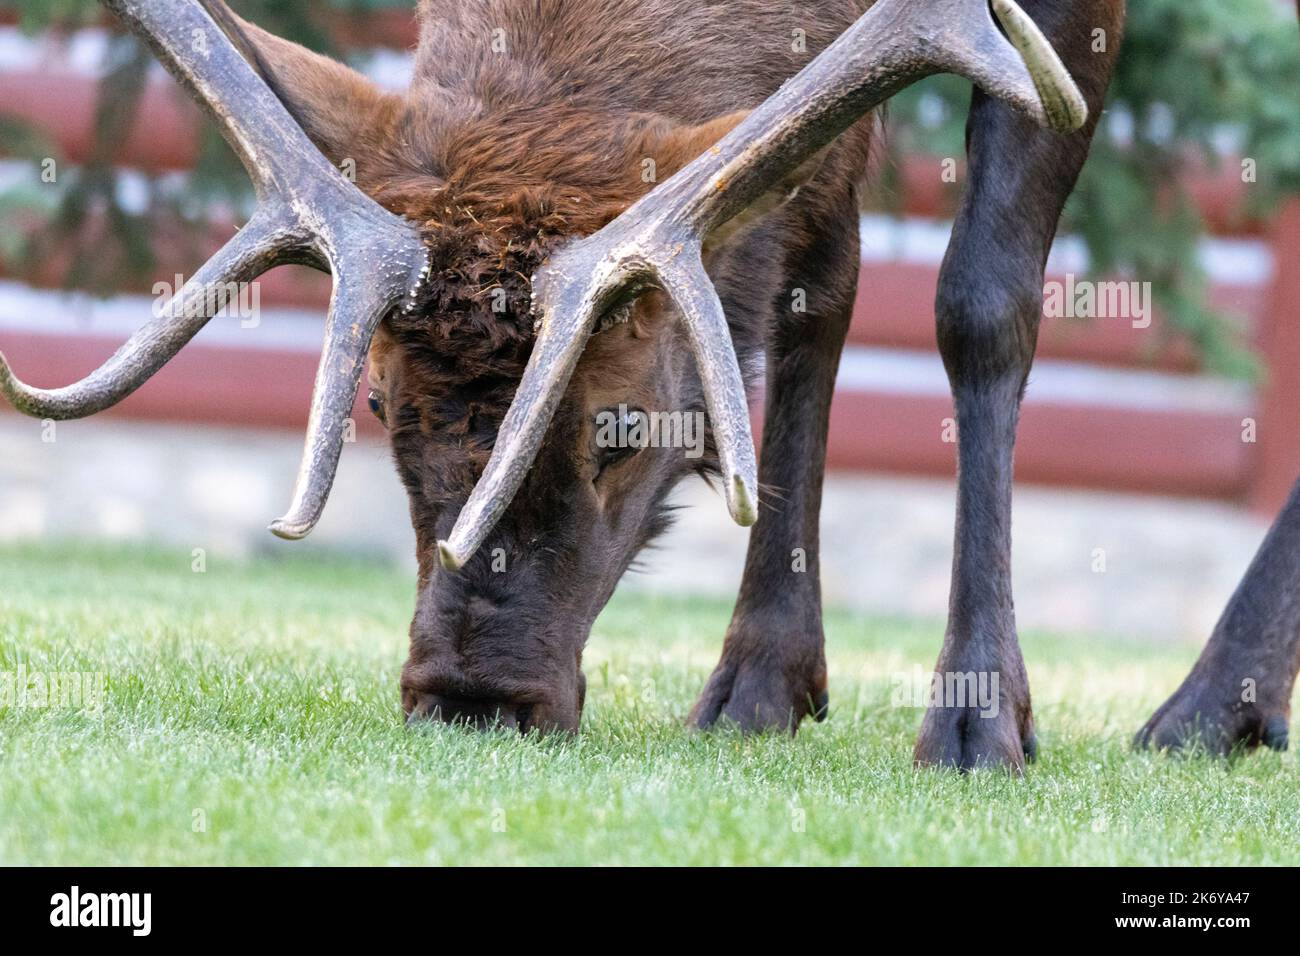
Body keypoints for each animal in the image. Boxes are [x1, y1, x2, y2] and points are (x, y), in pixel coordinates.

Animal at [2, 0, 1292, 769]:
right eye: (372, 403)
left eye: (621, 430)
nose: (471, 696)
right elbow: (813, 290)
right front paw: (764, 679)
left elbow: (979, 303)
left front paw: (979, 716)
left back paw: (1210, 702)